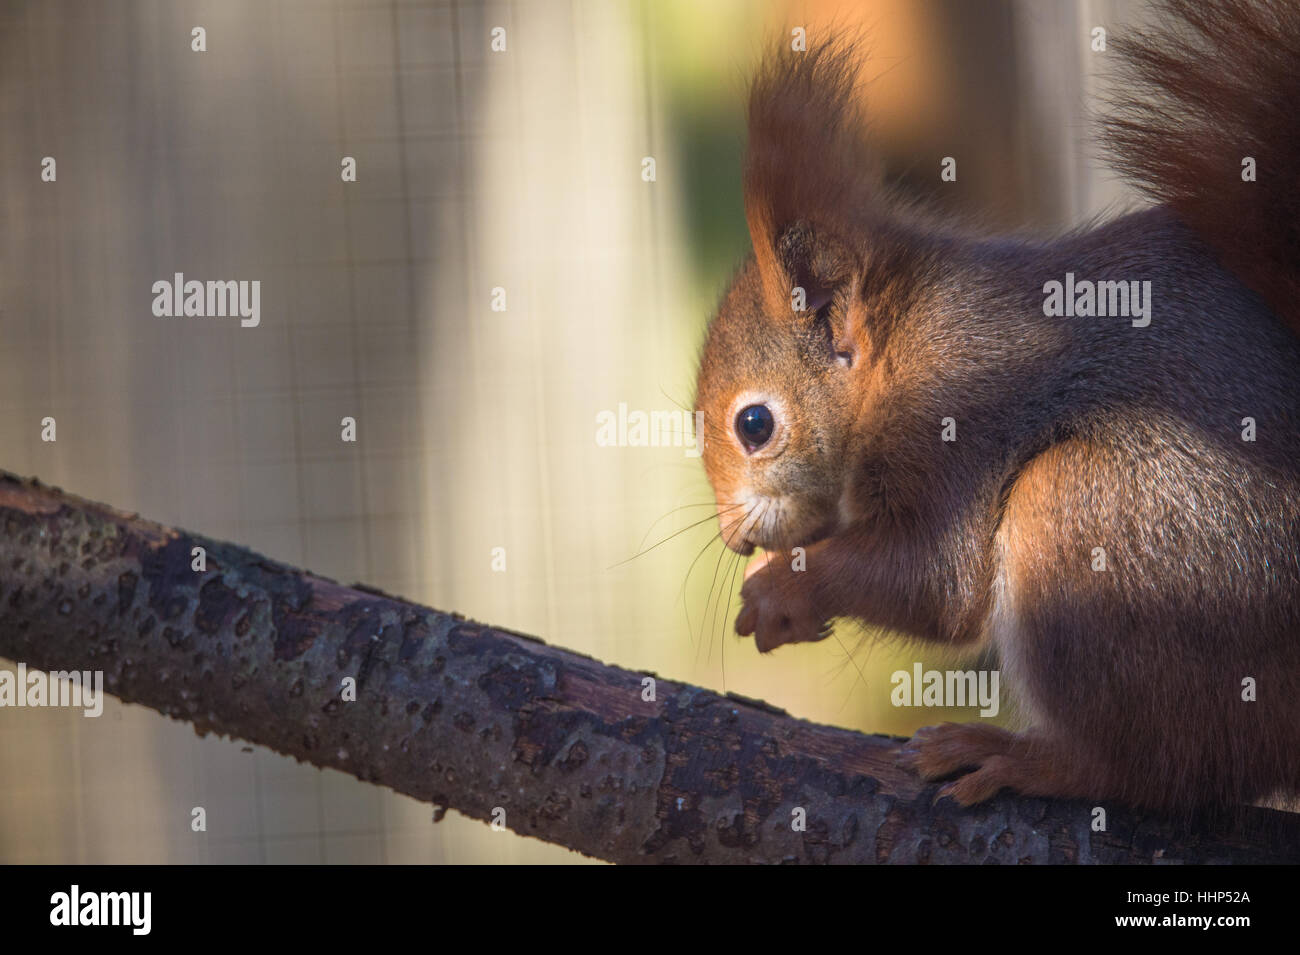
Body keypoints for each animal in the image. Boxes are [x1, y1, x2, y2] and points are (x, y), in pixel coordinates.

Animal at [693, 0, 1300, 816]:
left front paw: (782, 587)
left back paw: (1027, 757)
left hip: (1107, 527)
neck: (900, 348)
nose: (733, 540)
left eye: (753, 425)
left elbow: (934, 581)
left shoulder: (954, 415)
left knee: (1166, 766)